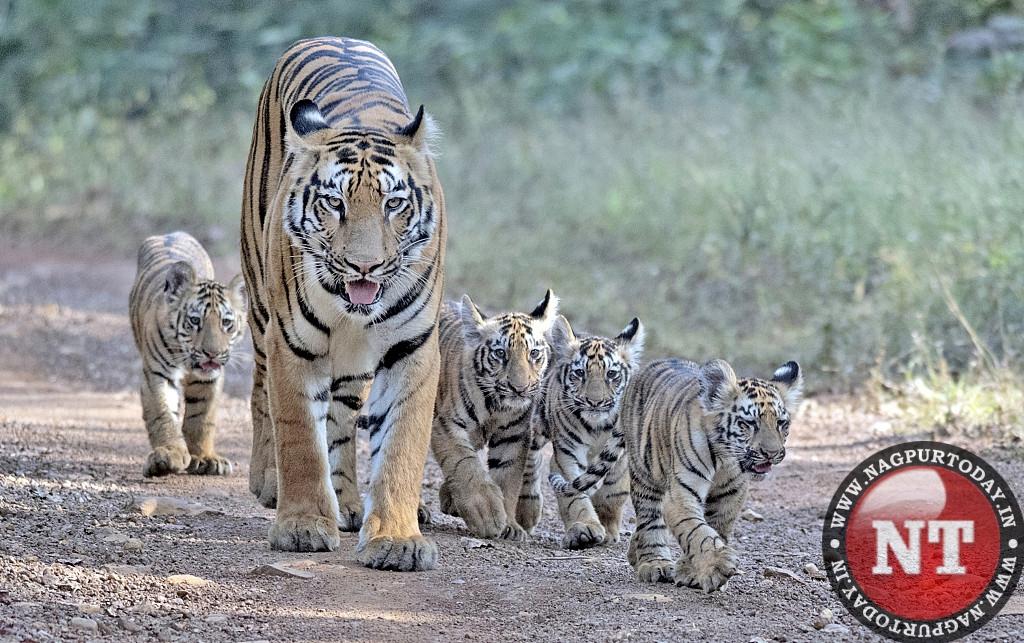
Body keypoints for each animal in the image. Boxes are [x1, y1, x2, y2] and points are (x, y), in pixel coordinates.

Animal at [128, 231, 247, 478]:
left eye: (226, 323)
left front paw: (204, 458)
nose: (212, 353)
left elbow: (201, 417)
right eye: (194, 320)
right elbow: (163, 415)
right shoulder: (158, 374)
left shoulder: (210, 379)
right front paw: (169, 455)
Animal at [240, 37, 445, 569]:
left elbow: (401, 446)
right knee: (260, 389)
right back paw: (268, 482)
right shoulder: (292, 345)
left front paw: (396, 538)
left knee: (341, 419)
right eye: (334, 203)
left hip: (355, 368)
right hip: (260, 306)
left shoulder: (413, 349)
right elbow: (298, 437)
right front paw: (302, 526)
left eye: (394, 204)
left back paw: (350, 502)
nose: (364, 267)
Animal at [425, 291, 558, 541]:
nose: (520, 388)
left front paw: (510, 526)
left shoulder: (514, 436)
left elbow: (508, 478)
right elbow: (465, 465)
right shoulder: (446, 426)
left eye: (533, 353)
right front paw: (486, 514)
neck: (496, 406)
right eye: (500, 353)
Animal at [517, 315, 644, 549]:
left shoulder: (622, 454)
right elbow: (574, 495)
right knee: (530, 464)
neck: (598, 428)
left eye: (611, 374)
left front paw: (608, 528)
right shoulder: (567, 454)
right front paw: (585, 529)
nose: (595, 402)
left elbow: (614, 492)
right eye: (580, 373)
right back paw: (526, 513)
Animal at [621, 358, 802, 591]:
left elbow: (715, 527)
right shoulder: (681, 493)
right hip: (644, 476)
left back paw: (635, 552)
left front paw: (691, 572)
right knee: (650, 520)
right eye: (749, 423)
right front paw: (717, 565)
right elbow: (696, 530)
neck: (725, 459)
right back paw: (655, 563)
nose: (771, 454)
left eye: (781, 423)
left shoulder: (731, 493)